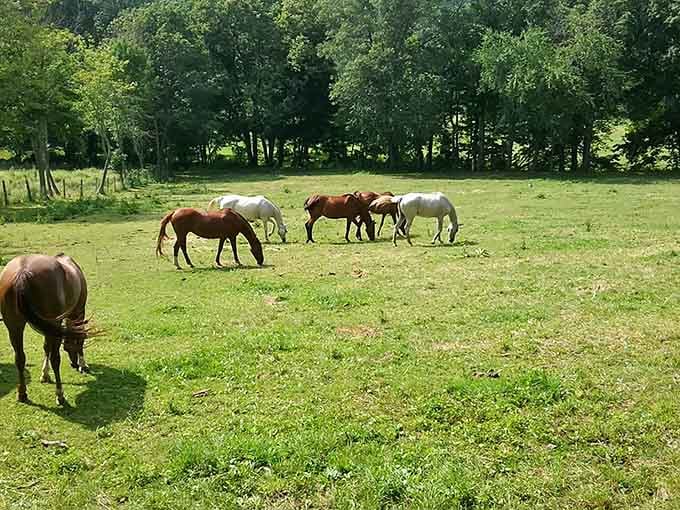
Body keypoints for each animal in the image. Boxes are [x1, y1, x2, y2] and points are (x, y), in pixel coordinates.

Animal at [0, 253, 93, 405]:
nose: (73, 363)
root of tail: (22, 273)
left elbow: (45, 347)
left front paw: (45, 374)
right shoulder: (78, 312)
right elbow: (76, 340)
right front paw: (83, 364)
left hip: (14, 327)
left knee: (20, 358)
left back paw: (22, 393)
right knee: (56, 359)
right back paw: (59, 394)